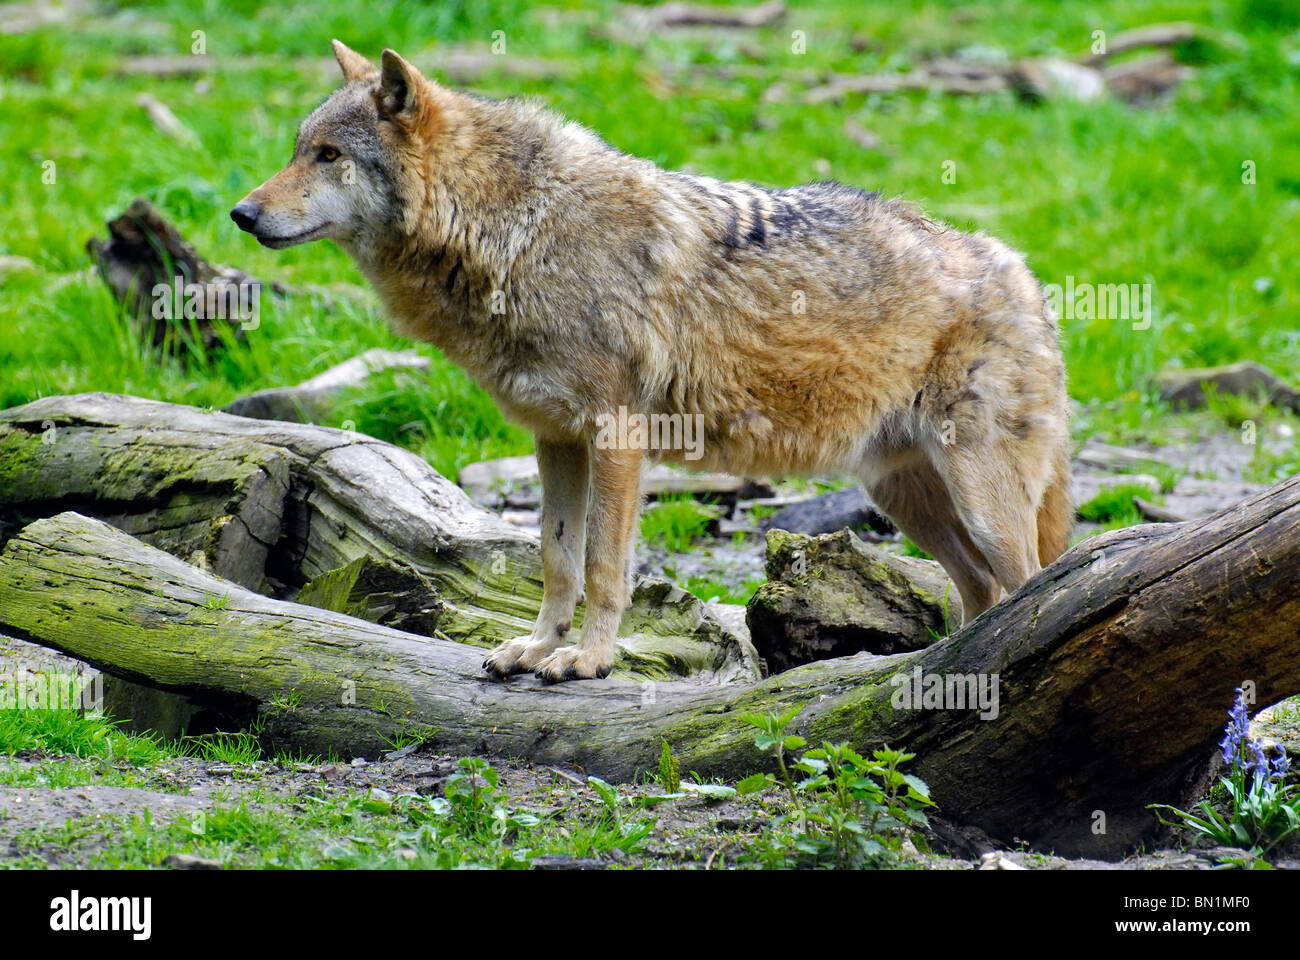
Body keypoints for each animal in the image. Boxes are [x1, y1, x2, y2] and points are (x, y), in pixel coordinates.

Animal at [232, 41, 1071, 683]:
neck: (516, 233)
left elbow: (606, 566)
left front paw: (588, 662)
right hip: (907, 498)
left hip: (978, 499)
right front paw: (536, 649)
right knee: (981, 589)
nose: (241, 213)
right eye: (299, 150)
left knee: (1029, 584)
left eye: (330, 156)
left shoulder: (618, 436)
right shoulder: (555, 439)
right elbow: (557, 559)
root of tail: (1026, 274)